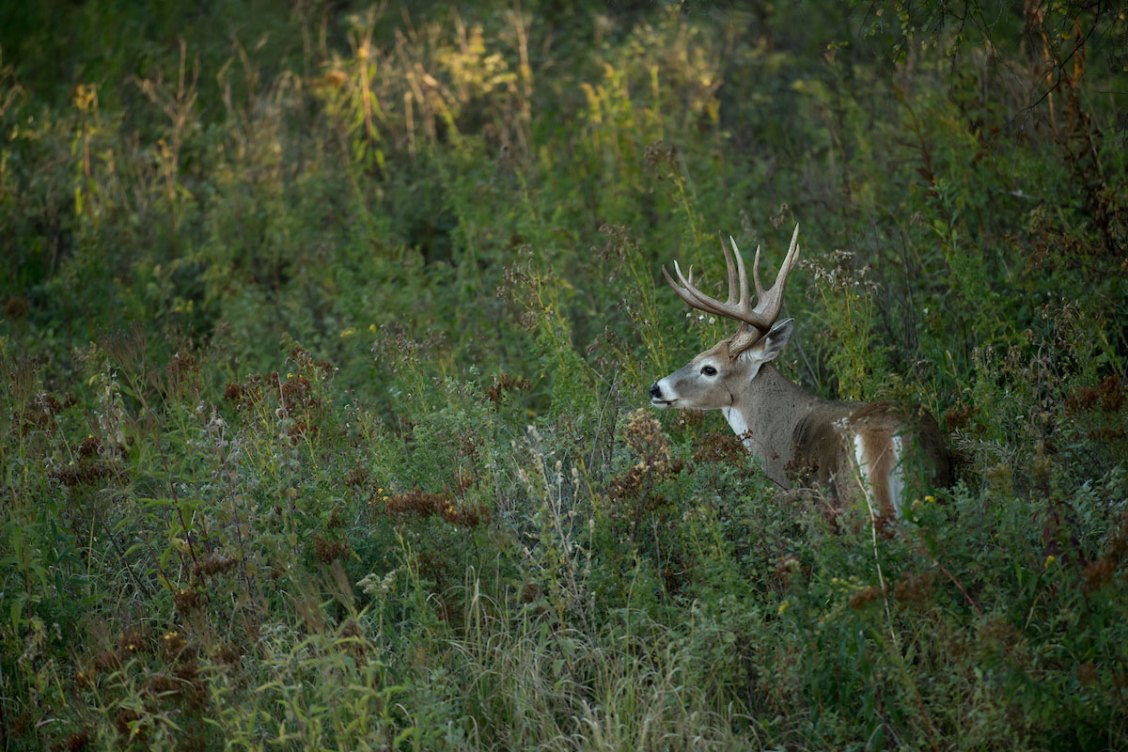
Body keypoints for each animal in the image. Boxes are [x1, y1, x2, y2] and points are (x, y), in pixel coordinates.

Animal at [648, 224, 949, 521]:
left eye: (709, 368)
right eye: (695, 356)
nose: (655, 388)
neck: (779, 436)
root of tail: (895, 435)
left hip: (854, 499)